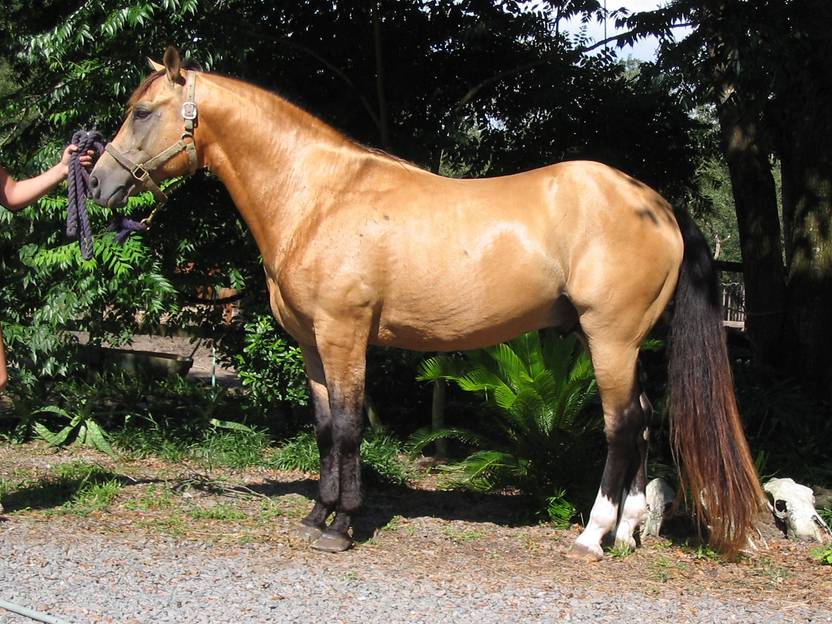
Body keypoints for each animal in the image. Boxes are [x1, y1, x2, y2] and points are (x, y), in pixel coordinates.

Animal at [89, 47, 764, 559]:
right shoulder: (312, 343)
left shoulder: (345, 334)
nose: (97, 181)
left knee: (622, 426)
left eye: (142, 111)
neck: (320, 196)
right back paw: (625, 533)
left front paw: (342, 526)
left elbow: (349, 425)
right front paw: (317, 515)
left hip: (611, 339)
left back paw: (592, 536)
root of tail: (657, 204)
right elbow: (324, 426)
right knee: (646, 420)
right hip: (617, 342)